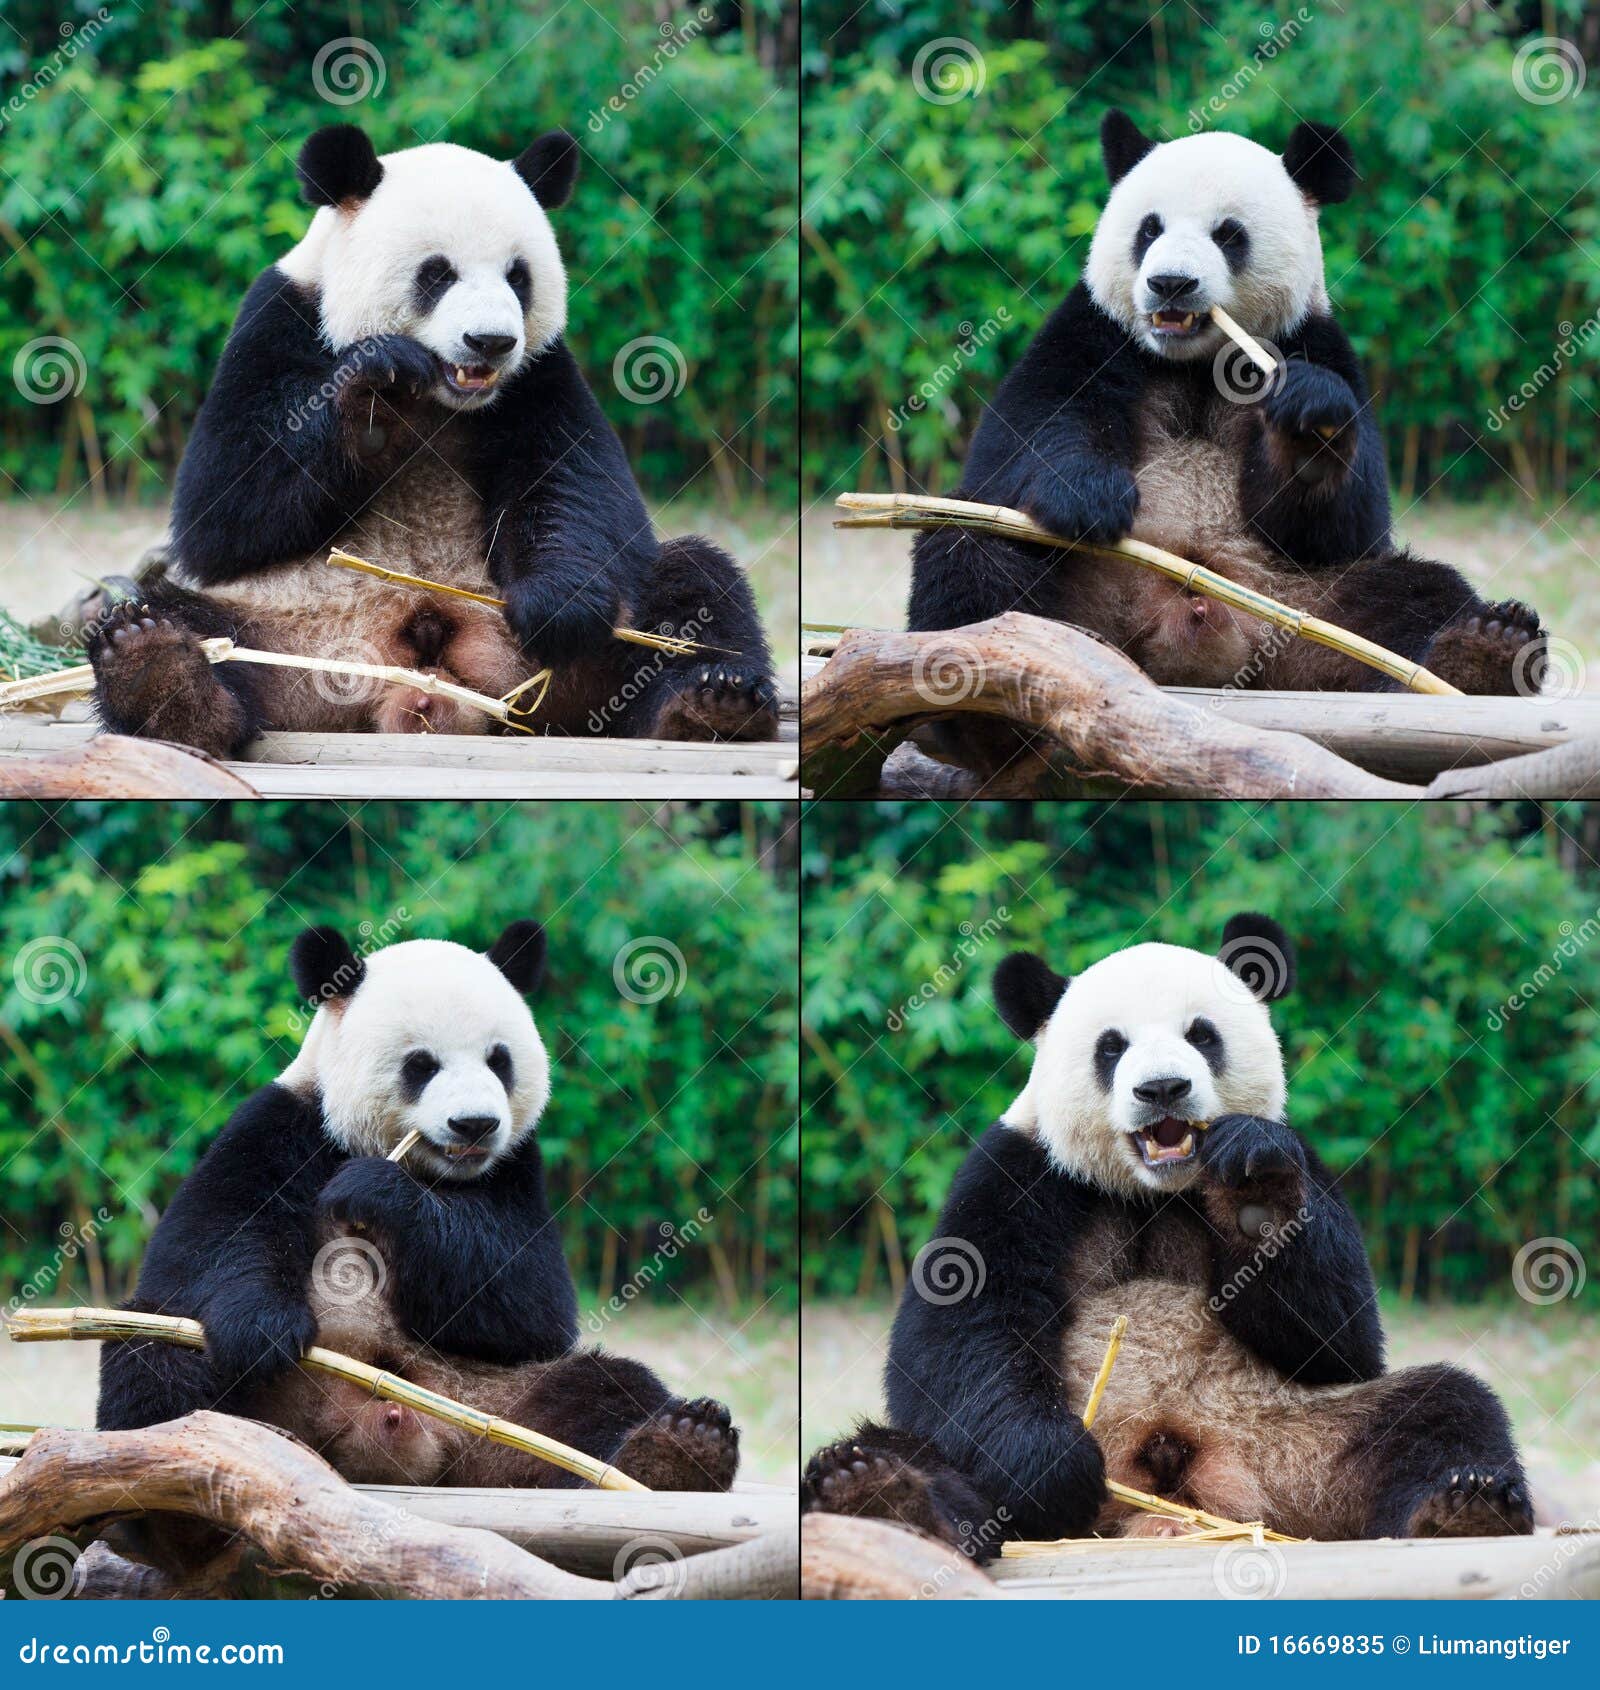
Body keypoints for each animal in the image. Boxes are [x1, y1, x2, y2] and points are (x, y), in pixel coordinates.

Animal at [85, 124, 777, 757]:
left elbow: (578, 484)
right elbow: (220, 507)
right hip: (282, 629)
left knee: (693, 589)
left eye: (518, 276)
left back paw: (709, 704)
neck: (442, 403)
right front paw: (375, 390)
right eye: (437, 274)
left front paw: (557, 605)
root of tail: (419, 693)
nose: (490, 342)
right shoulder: (279, 316)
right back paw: (163, 677)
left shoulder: (539, 373)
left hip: (567, 674)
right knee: (175, 613)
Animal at [98, 921, 740, 1500]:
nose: (475, 1124)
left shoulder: (516, 1168)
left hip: (502, 1404)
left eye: (499, 1060)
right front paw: (264, 1330)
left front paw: (377, 1192)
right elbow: (209, 1241)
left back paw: (680, 1449)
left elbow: (532, 1303)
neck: (429, 1169)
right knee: (156, 1359)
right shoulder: (285, 1124)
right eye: (422, 1064)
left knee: (601, 1391)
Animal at [802, 915, 1532, 1556]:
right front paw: (1051, 1467)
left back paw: (1464, 1508)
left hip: (1296, 1436)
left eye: (1202, 1034)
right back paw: (882, 1494)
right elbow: (959, 1330)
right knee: (914, 1449)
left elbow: (1339, 1341)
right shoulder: (1018, 1173)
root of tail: (1173, 1503)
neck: (1154, 1190)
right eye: (1111, 1046)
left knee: (1441, 1410)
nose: (1163, 1089)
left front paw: (1253, 1190)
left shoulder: (1304, 1162)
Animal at [907, 112, 1547, 731]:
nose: (1171, 283)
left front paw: (1306, 420)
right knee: (971, 553)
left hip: (1305, 604)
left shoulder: (1313, 340)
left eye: (1228, 235)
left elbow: (1345, 523)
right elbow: (1031, 430)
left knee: (1411, 595)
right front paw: (1092, 497)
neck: (1195, 361)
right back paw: (980, 694)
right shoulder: (1092, 331)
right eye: (1149, 229)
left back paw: (1484, 651)